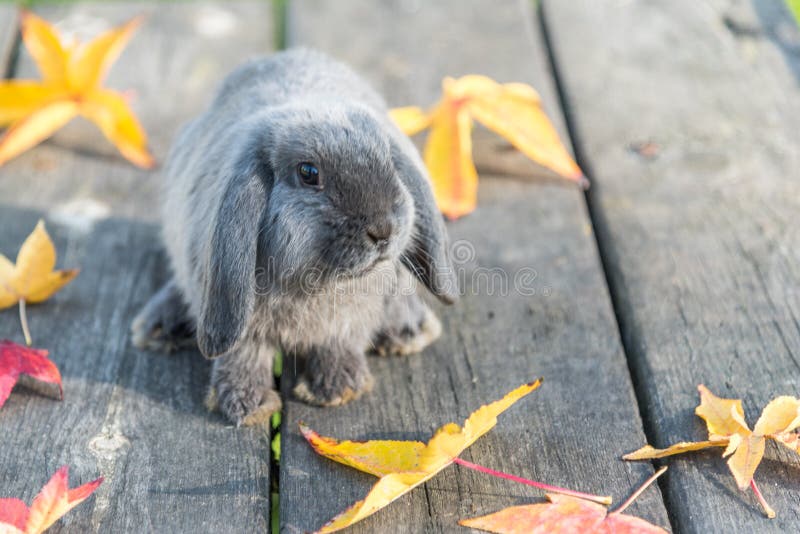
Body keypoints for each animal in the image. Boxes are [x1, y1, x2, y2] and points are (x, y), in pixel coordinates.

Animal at [131, 48, 458, 426]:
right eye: (308, 173)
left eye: (389, 161)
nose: (383, 230)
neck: (317, 283)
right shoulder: (241, 321)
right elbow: (243, 355)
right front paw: (246, 404)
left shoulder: (349, 322)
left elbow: (339, 343)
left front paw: (338, 388)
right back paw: (158, 326)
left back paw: (409, 331)